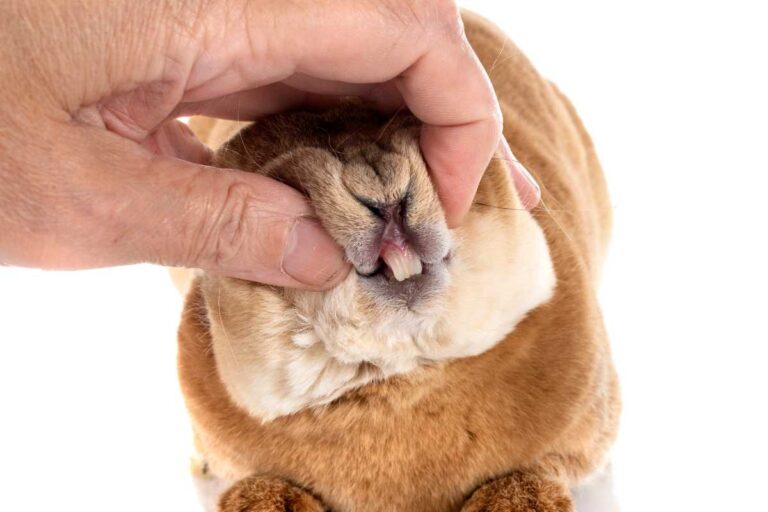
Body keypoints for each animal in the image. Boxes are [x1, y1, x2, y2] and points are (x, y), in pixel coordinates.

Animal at [177, 10, 619, 512]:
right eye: (285, 187)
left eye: (423, 141)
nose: (386, 197)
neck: (400, 374)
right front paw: (265, 498)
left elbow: (534, 474)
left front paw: (512, 501)